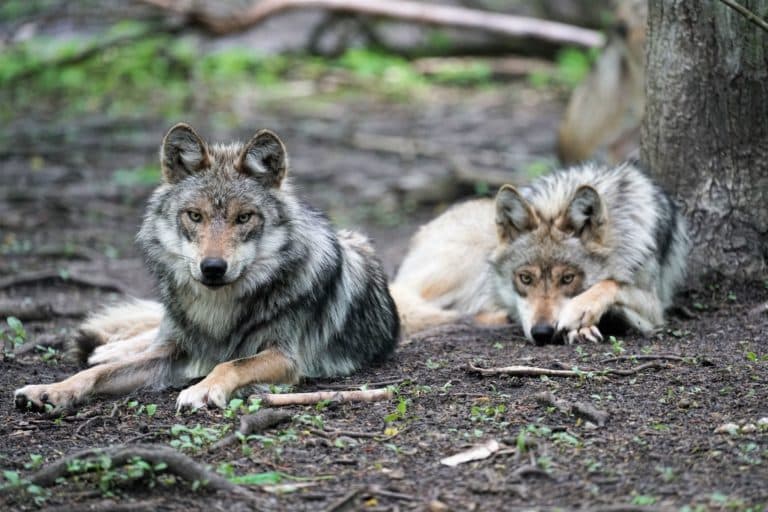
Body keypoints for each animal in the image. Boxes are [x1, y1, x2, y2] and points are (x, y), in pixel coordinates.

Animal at [15, 123, 399, 412]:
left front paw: (202, 388)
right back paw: (105, 348)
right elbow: (102, 373)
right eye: (195, 215)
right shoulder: (173, 351)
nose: (213, 267)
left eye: (244, 218)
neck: (219, 310)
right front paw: (53, 389)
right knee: (140, 337)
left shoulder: (286, 356)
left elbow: (229, 363)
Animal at [391, 161, 689, 344]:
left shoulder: (655, 303)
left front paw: (582, 314)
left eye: (568, 279)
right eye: (525, 278)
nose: (543, 333)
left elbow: (612, 283)